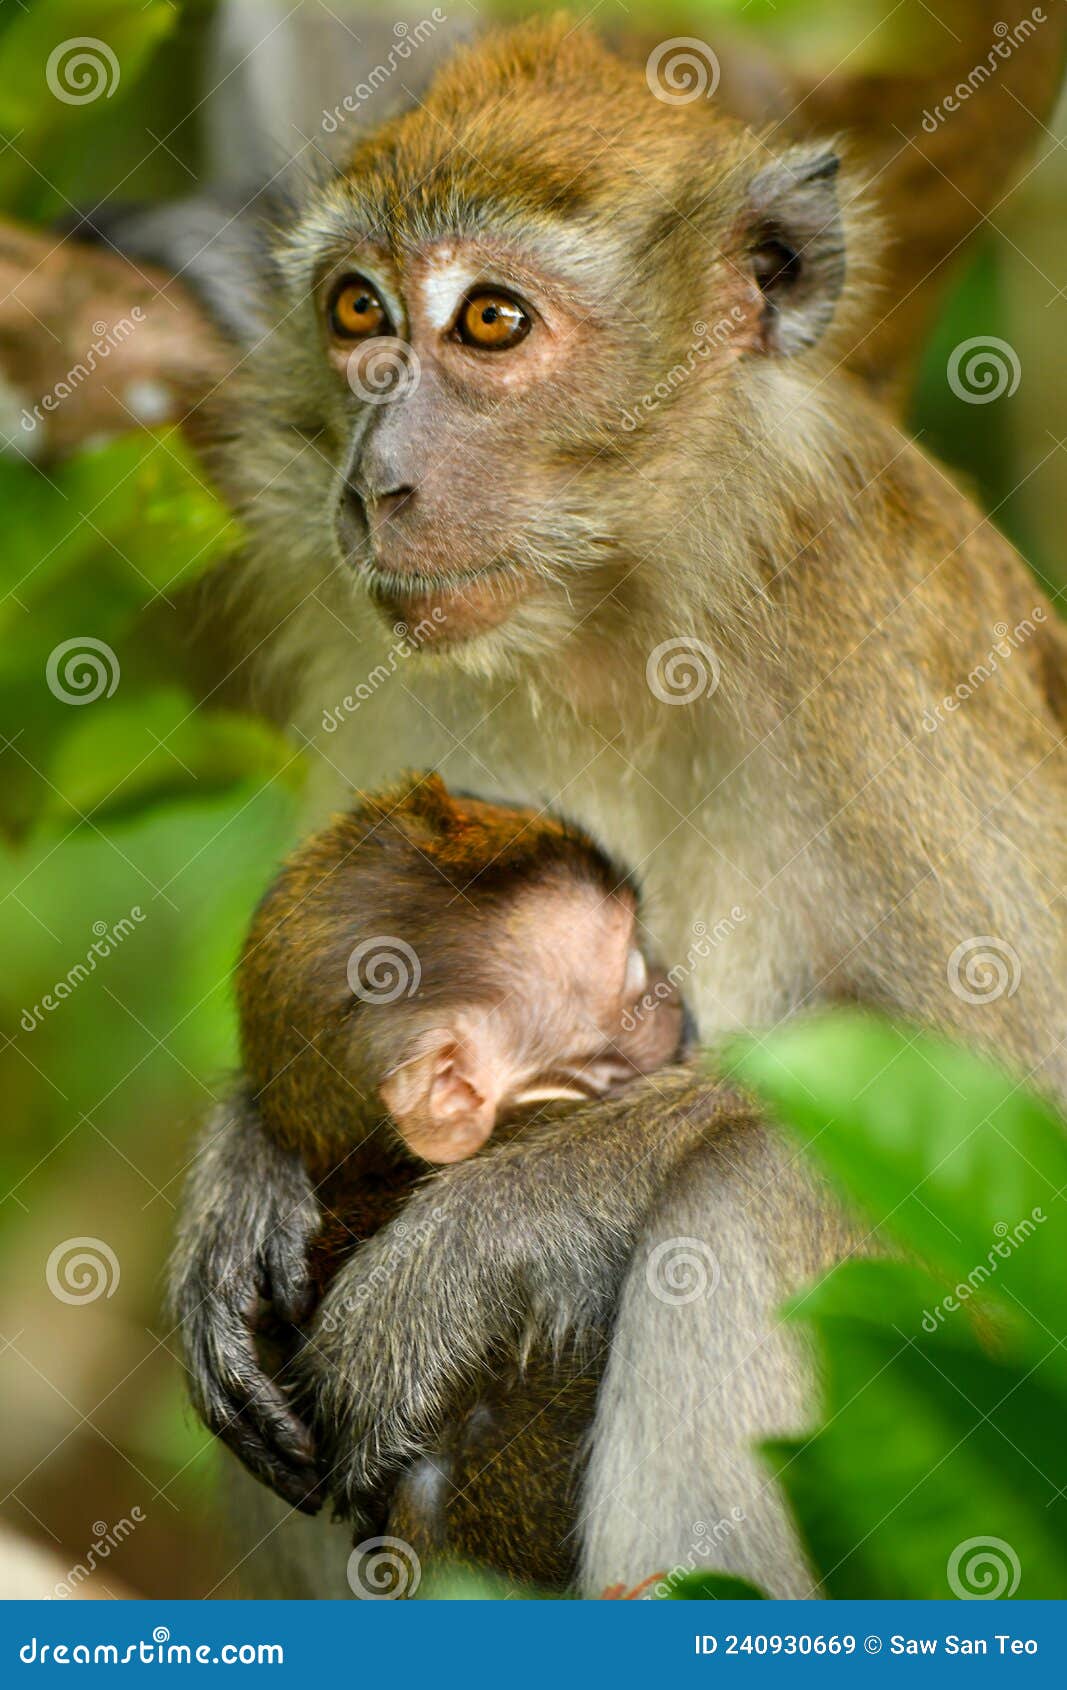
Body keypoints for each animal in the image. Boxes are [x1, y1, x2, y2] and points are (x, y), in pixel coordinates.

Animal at [162, 13, 1066, 1599]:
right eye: (354, 310)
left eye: (489, 324)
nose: (376, 485)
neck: (610, 609)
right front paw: (245, 1157)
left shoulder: (867, 640)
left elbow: (1018, 1087)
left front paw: (486, 1234)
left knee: (743, 1188)